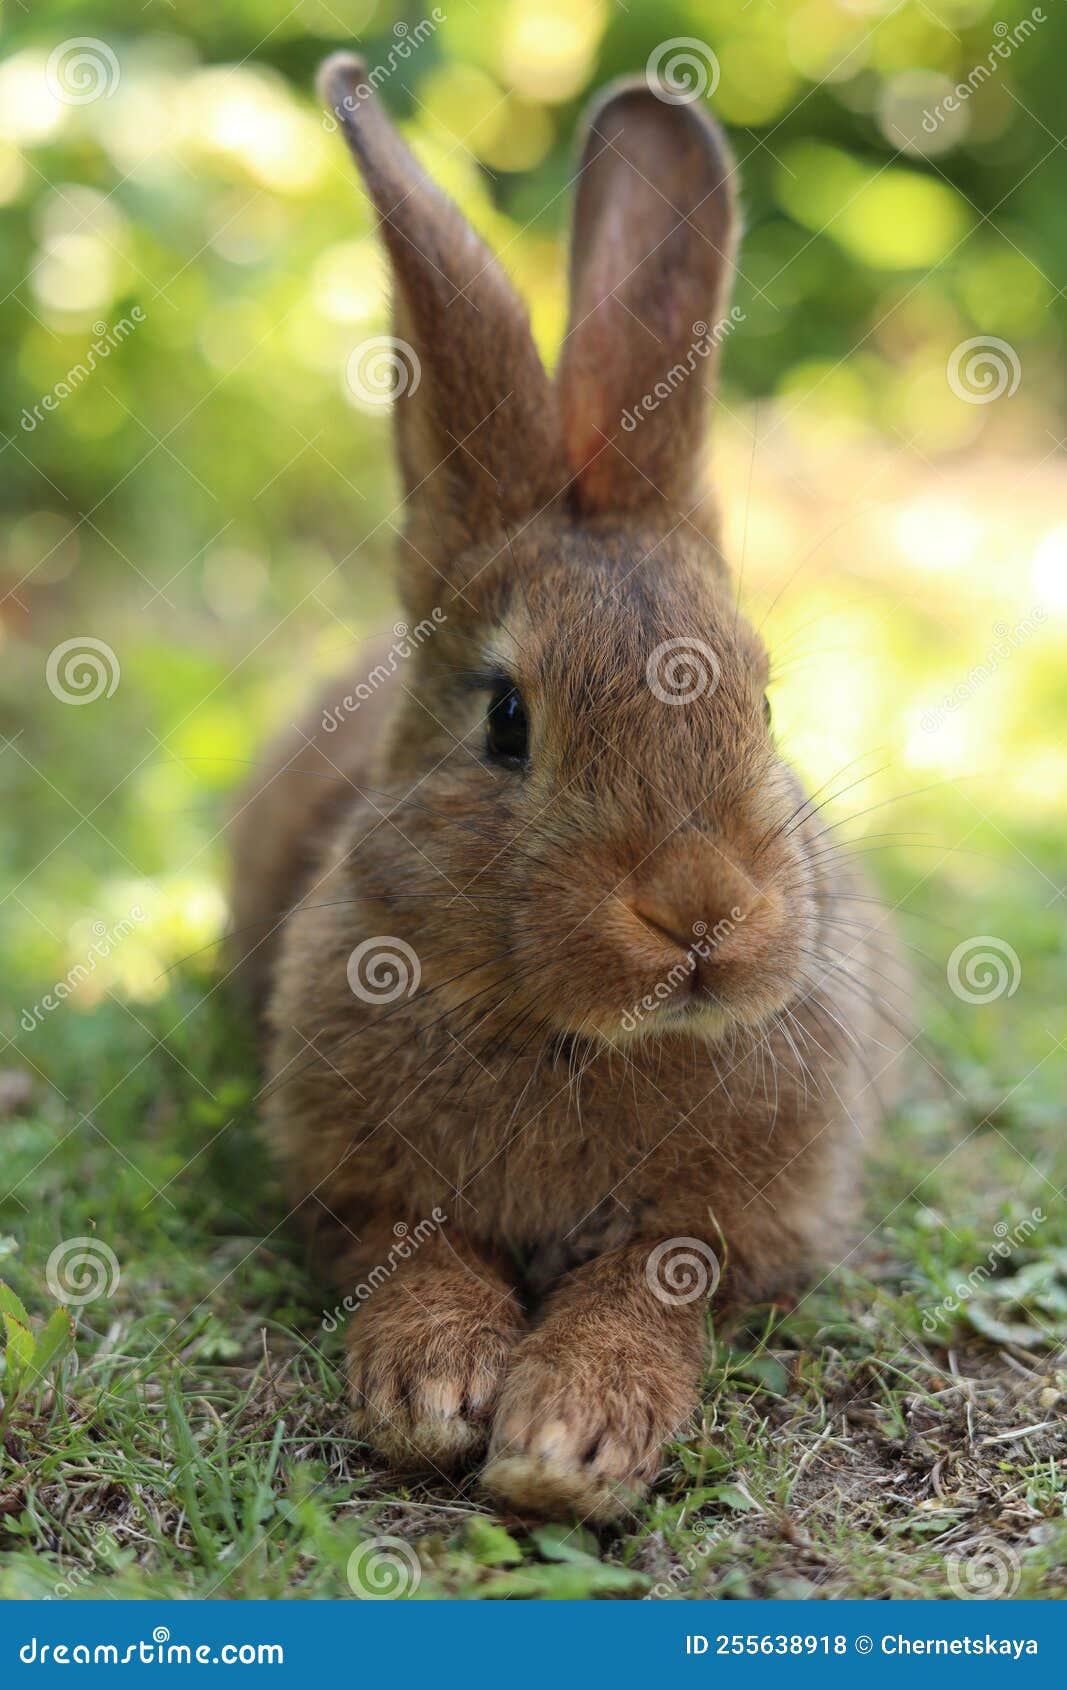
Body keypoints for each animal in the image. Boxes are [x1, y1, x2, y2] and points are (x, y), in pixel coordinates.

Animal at [228, 52, 908, 1523]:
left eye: (762, 704)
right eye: (505, 719)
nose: (699, 912)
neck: (578, 1037)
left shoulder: (725, 1229)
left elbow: (650, 1286)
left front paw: (565, 1436)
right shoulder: (350, 1189)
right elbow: (411, 1252)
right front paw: (429, 1388)